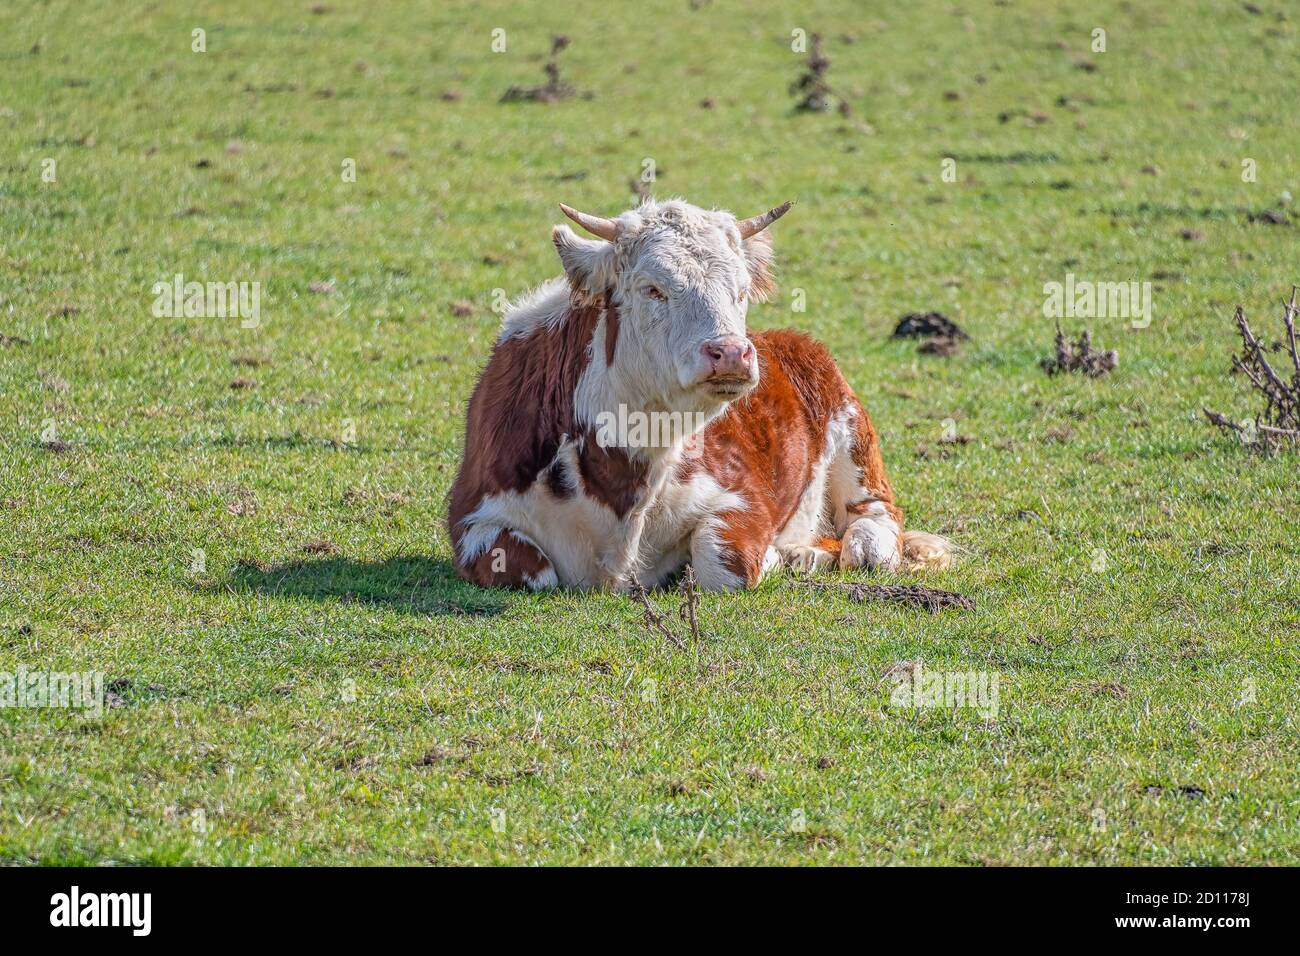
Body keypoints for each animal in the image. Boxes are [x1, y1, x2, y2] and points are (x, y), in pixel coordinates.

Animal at [448, 198, 953, 591]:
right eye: (652, 289)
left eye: (741, 291)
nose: (731, 352)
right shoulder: (472, 517)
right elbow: (529, 569)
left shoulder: (742, 496)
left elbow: (723, 562)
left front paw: (778, 555)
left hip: (854, 438)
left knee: (875, 521)